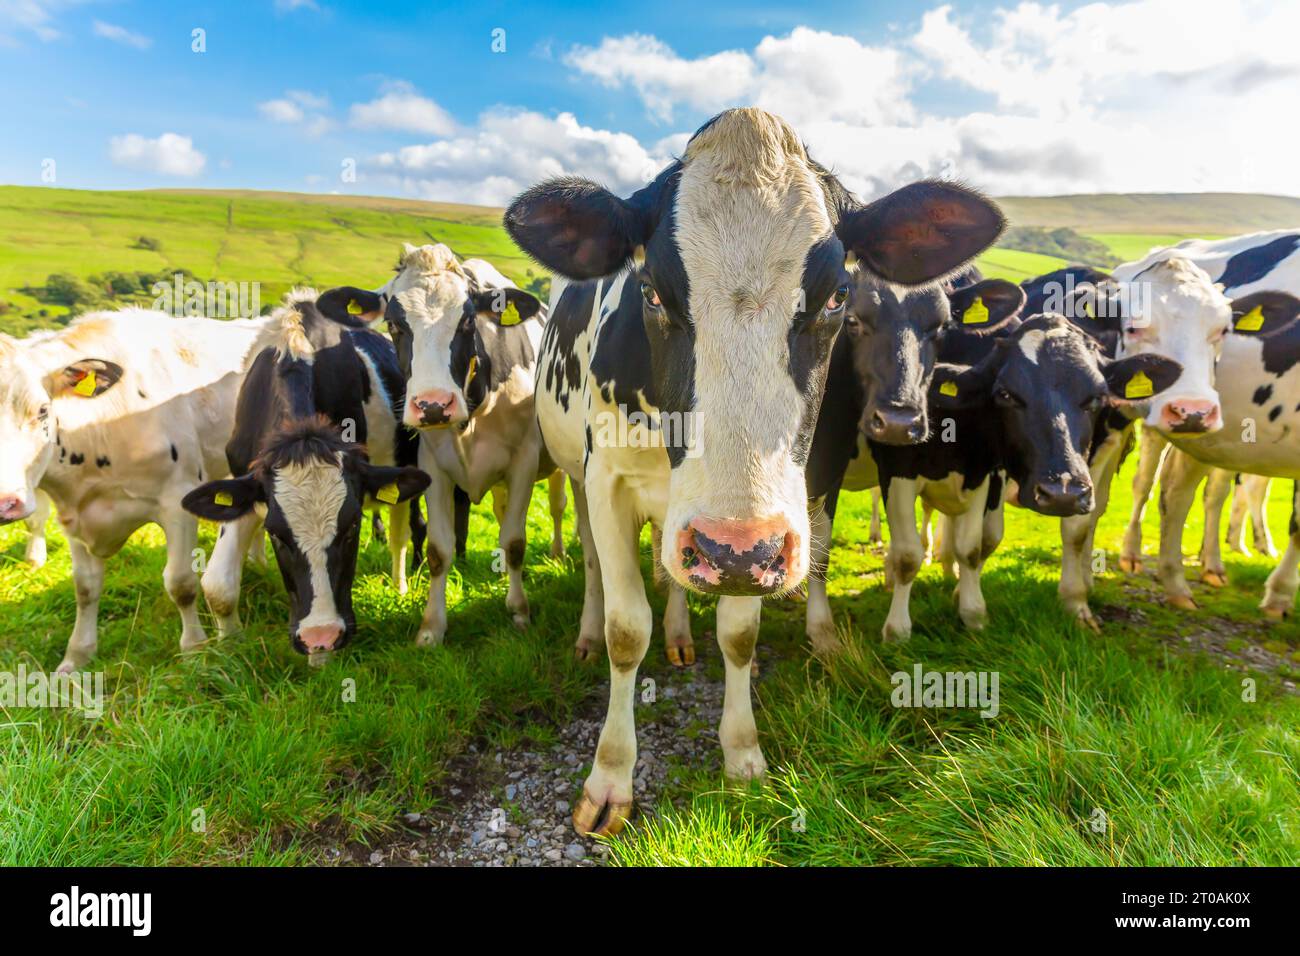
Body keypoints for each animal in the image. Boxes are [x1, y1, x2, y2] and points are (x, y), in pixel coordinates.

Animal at [0, 308, 279, 672]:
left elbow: (181, 583)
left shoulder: (178, 499)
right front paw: (76, 657)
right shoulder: (73, 515)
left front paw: (194, 649)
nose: (6, 503)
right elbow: (85, 588)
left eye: (43, 410)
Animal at [181, 289, 429, 661]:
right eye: (277, 535)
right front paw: (229, 644)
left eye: (351, 527)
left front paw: (321, 656)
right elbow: (217, 585)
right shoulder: (246, 481)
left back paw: (400, 587)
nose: (319, 634)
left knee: (402, 533)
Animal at [318, 244, 565, 647]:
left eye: (467, 322)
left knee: (557, 507)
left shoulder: (524, 461)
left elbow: (515, 542)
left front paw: (519, 611)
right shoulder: (433, 465)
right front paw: (431, 627)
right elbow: (438, 550)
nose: (433, 405)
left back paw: (558, 554)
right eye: (394, 324)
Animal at [504, 107, 1007, 835]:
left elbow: (739, 634)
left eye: (838, 297)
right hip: (582, 475)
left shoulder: (762, 534)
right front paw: (609, 777)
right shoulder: (609, 482)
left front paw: (742, 756)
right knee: (601, 568)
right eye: (651, 291)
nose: (729, 546)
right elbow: (627, 631)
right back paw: (589, 632)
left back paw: (681, 635)